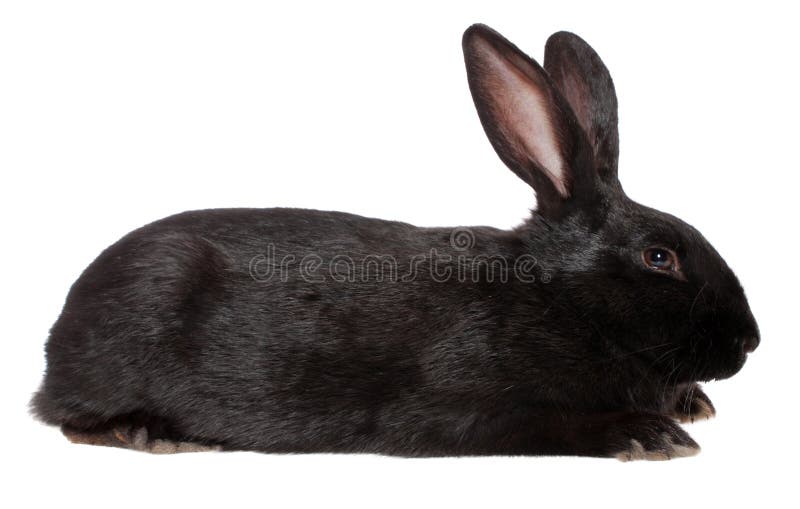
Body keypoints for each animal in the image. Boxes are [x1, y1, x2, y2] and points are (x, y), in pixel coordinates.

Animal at [31, 24, 759, 461]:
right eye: (659, 256)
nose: (750, 341)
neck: (563, 300)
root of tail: (57, 338)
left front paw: (693, 406)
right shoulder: (466, 406)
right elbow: (549, 423)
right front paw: (649, 434)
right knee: (65, 418)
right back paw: (147, 432)